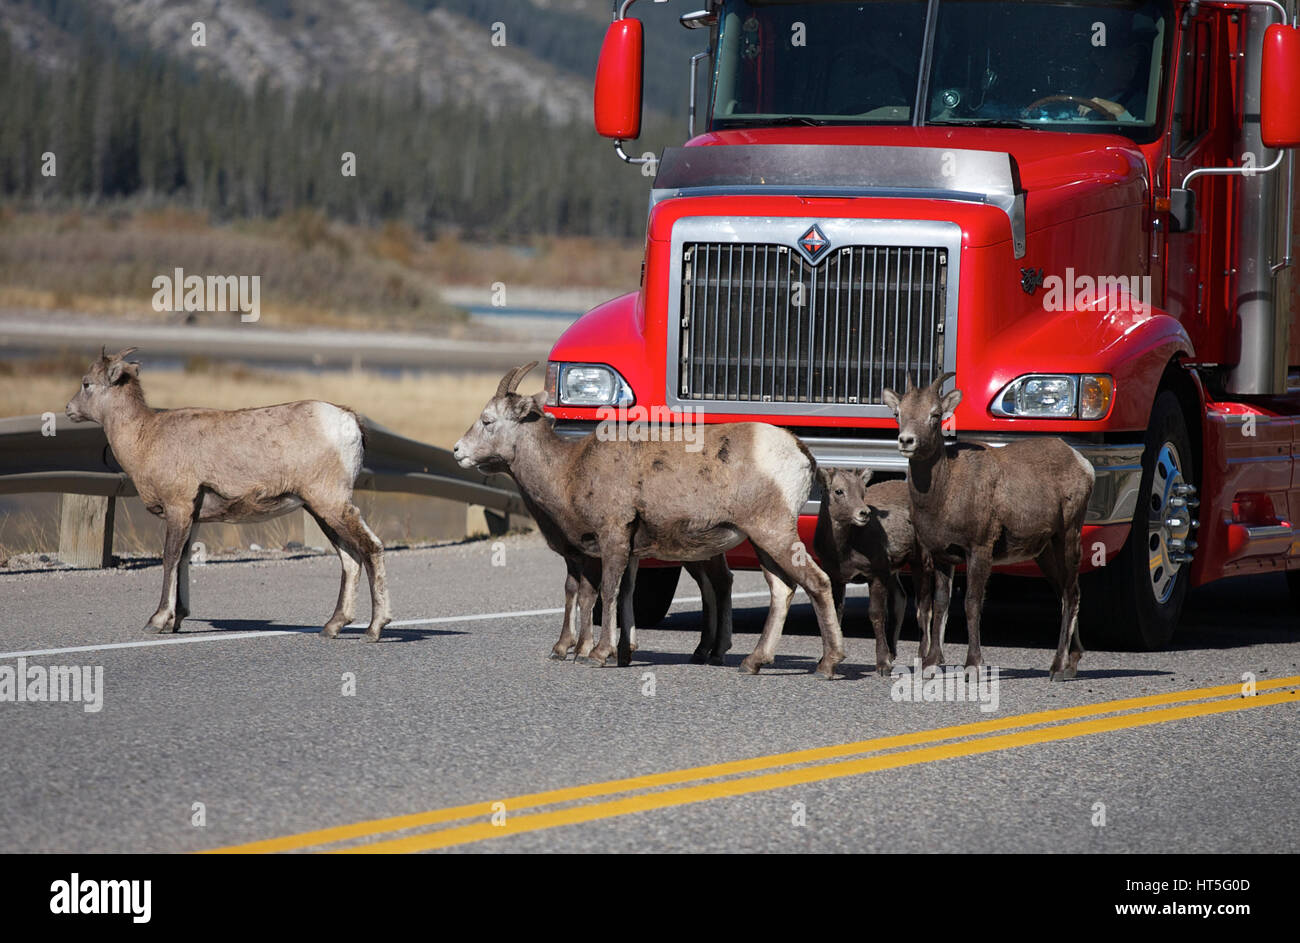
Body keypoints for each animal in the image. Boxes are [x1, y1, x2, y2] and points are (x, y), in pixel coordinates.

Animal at [64, 347, 390, 640]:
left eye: (86, 383)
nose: (68, 410)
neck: (145, 437)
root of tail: (348, 420)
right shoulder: (193, 517)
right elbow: (184, 559)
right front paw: (176, 621)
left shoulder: (178, 507)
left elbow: (170, 558)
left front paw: (156, 621)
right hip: (319, 509)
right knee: (350, 558)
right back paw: (331, 627)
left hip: (330, 504)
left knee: (371, 547)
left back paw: (374, 629)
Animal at [453, 363, 845, 676]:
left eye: (487, 421)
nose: (457, 451)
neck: (568, 470)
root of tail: (797, 451)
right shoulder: (627, 551)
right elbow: (621, 595)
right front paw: (621, 654)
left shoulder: (610, 539)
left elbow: (605, 592)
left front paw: (595, 654)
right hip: (761, 541)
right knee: (780, 589)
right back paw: (752, 662)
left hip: (773, 533)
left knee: (817, 582)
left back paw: (827, 664)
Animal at [813, 467, 914, 676]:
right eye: (839, 491)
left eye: (863, 491)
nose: (864, 513)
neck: (843, 551)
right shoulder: (836, 577)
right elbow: (835, 613)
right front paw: (824, 662)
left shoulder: (875, 574)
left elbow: (876, 614)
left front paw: (882, 665)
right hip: (892, 572)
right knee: (900, 598)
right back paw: (893, 654)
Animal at [881, 373, 1095, 680]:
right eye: (898, 413)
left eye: (935, 415)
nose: (906, 440)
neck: (944, 491)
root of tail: (1083, 465)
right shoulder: (942, 556)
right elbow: (940, 605)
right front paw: (931, 665)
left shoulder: (979, 550)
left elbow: (971, 603)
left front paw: (972, 665)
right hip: (1045, 552)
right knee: (1065, 593)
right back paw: (1072, 664)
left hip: (1068, 536)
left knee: (1071, 594)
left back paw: (1057, 668)